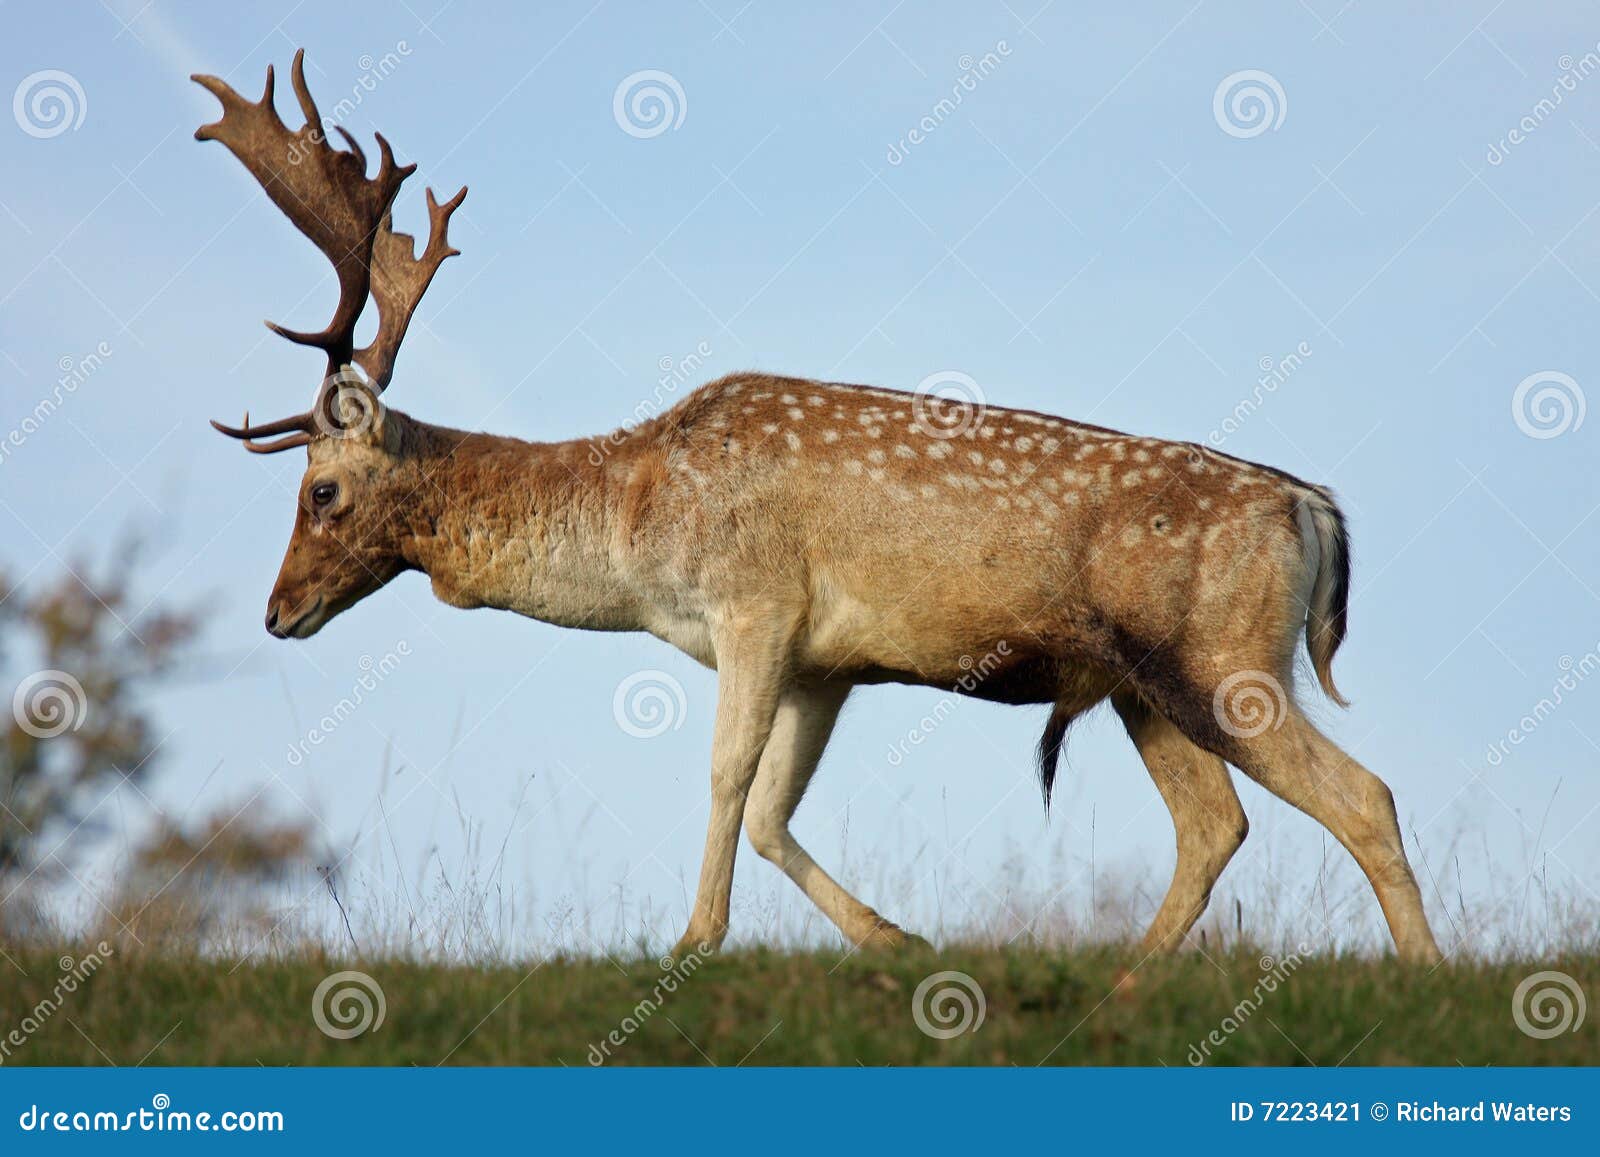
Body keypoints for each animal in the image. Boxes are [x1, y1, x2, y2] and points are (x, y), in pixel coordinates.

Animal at [194, 51, 1443, 965]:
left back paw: (1424, 975)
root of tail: (1313, 510)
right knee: (1215, 823)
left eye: (320, 489)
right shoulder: (824, 661)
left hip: (1223, 651)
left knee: (1362, 793)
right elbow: (769, 808)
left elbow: (722, 777)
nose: (276, 611)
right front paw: (895, 938)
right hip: (1142, 683)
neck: (637, 527)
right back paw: (1130, 984)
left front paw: (691, 940)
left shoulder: (755, 603)